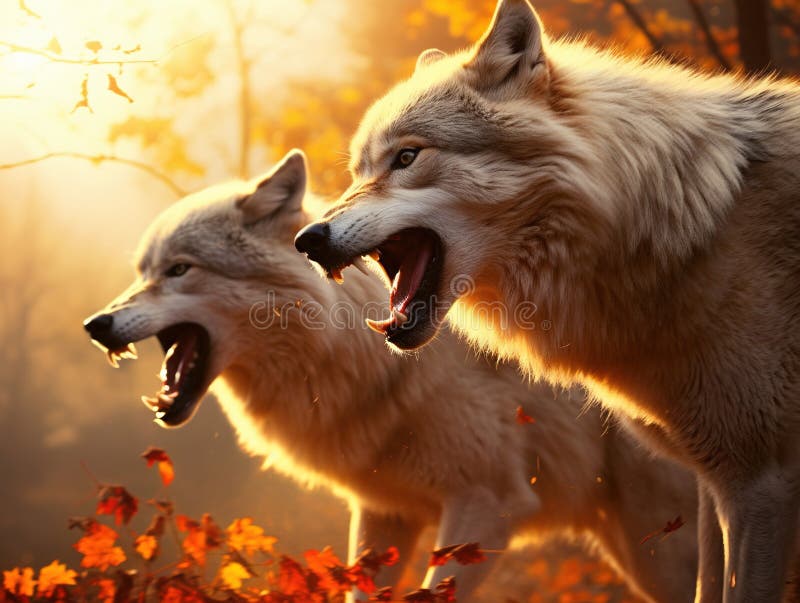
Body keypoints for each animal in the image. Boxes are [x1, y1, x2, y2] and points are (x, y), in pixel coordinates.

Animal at [83, 150, 699, 602]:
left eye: (179, 270)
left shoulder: (488, 505)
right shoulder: (386, 515)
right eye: (142, 272)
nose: (95, 324)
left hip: (658, 539)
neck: (368, 351)